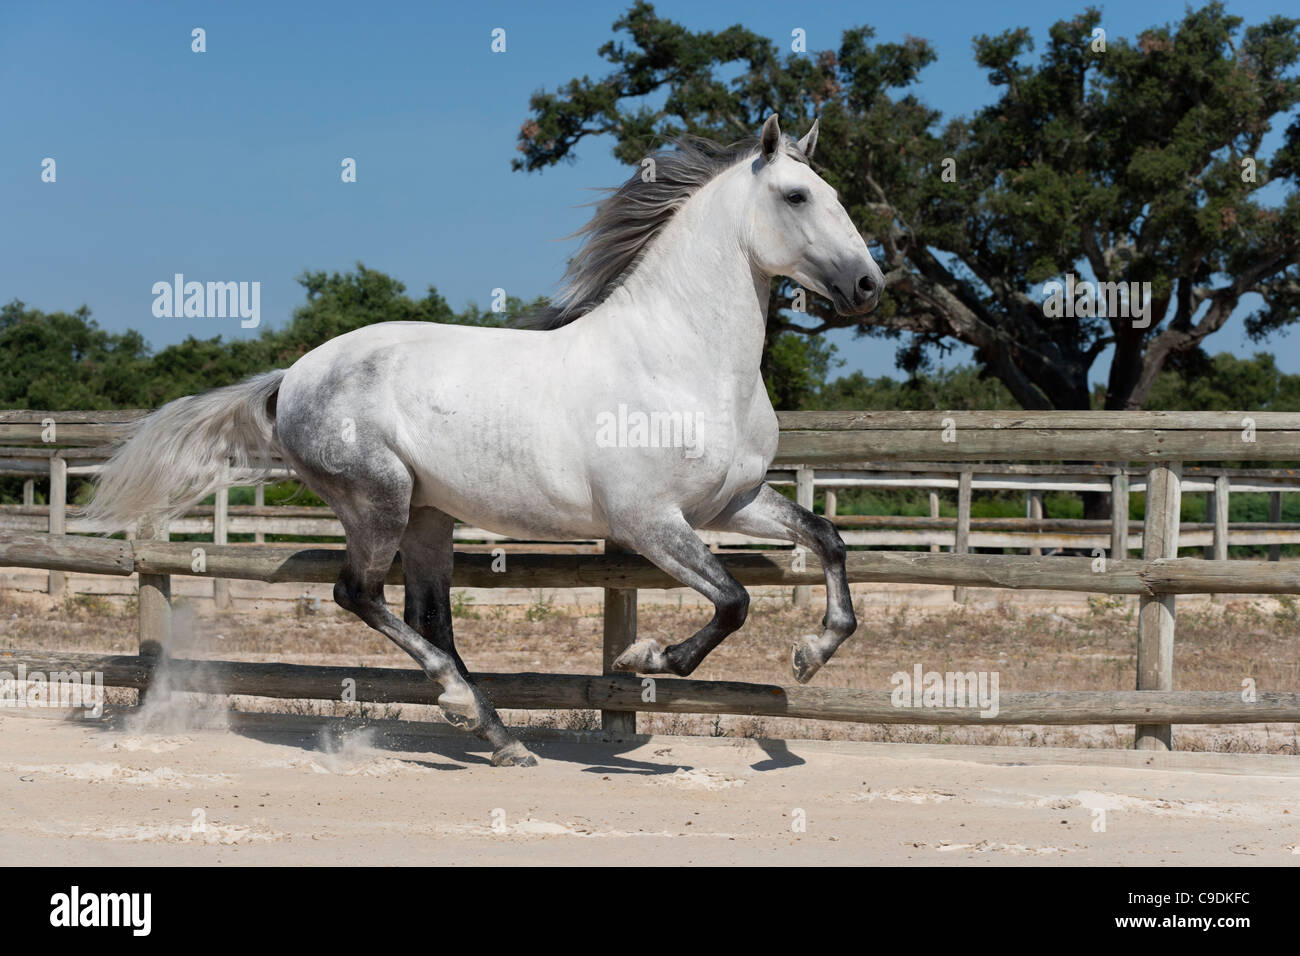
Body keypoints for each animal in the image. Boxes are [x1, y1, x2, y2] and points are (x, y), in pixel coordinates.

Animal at [87, 114, 885, 767]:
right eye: (796, 197)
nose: (869, 285)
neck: (683, 361)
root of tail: (296, 375)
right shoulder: (649, 522)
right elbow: (733, 601)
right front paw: (644, 656)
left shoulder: (733, 503)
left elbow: (828, 541)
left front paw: (810, 655)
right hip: (379, 498)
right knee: (358, 594)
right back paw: (465, 707)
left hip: (428, 514)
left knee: (425, 614)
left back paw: (499, 737)